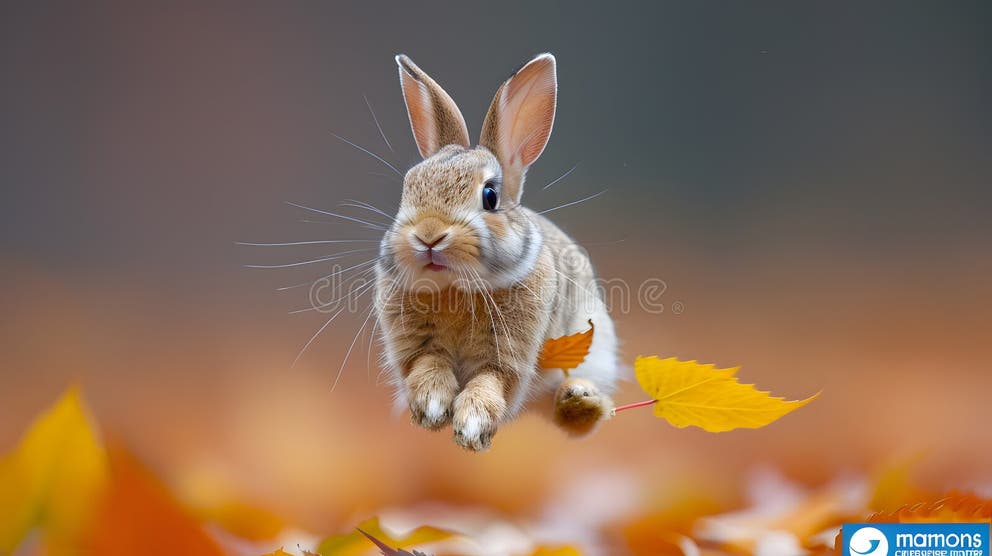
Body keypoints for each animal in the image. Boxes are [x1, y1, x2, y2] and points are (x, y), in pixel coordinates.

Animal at [374, 52, 619, 451]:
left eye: (490, 196)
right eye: (407, 187)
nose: (428, 235)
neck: (457, 288)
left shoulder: (509, 352)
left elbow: (490, 381)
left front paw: (471, 426)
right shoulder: (413, 345)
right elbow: (427, 364)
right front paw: (432, 406)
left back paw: (578, 400)